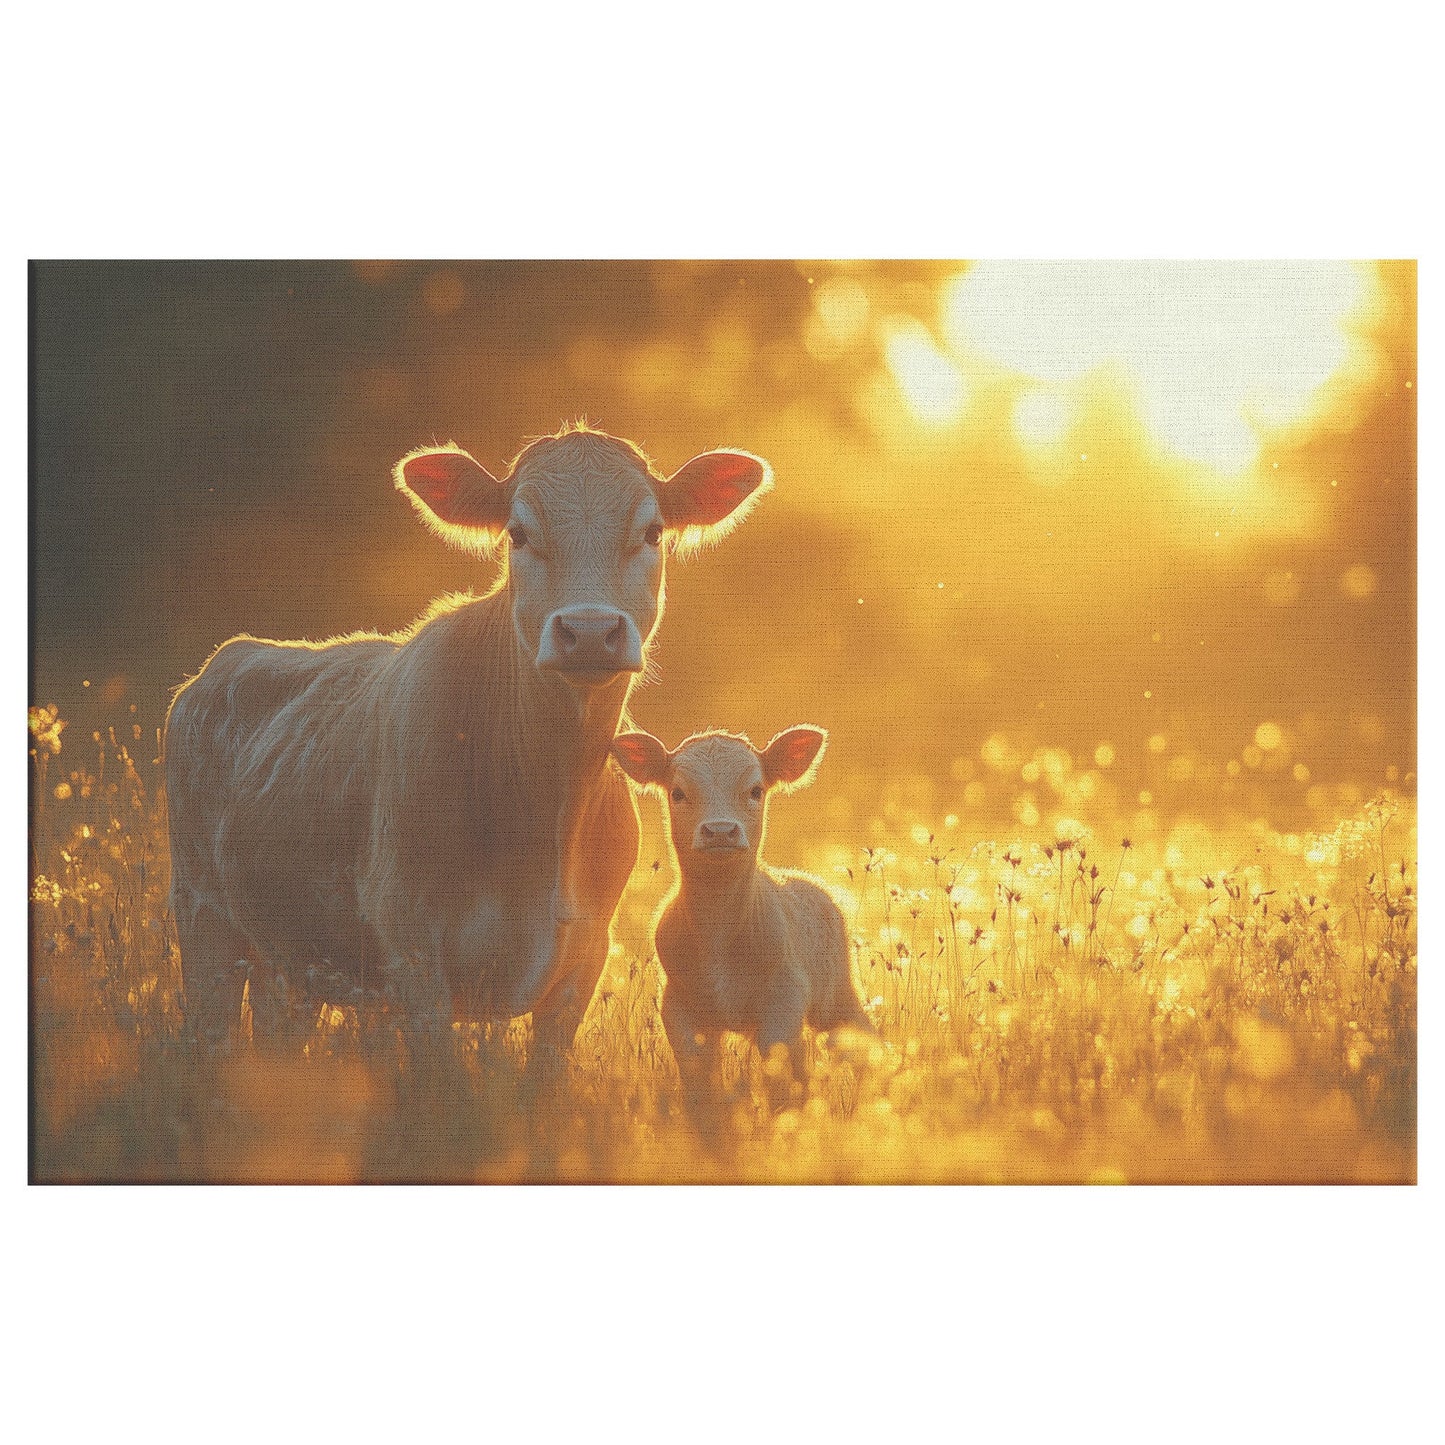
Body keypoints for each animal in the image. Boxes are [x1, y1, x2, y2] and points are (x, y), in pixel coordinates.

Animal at [164, 424, 771, 1059]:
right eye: (518, 532)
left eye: (652, 531)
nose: (588, 632)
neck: (543, 808)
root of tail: (227, 658)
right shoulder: (412, 949)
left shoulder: (583, 957)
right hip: (203, 916)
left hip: (289, 958)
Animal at [609, 726, 872, 1122]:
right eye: (677, 792)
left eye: (755, 791)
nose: (720, 831)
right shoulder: (680, 1006)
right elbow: (700, 1087)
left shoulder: (784, 998)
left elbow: (781, 1084)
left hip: (837, 995)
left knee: (861, 1045)